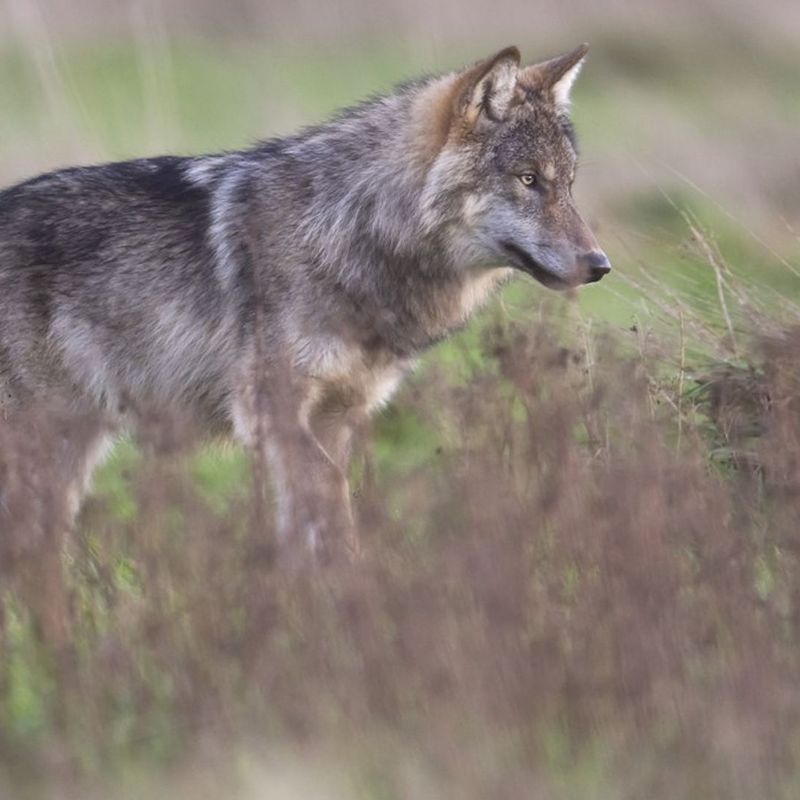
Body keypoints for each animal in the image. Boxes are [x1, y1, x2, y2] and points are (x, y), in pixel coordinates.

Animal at [0, 43, 609, 624]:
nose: (599, 265)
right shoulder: (273, 411)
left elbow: (302, 535)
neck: (347, 229)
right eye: (528, 180)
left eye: (568, 185)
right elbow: (335, 514)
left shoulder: (334, 419)